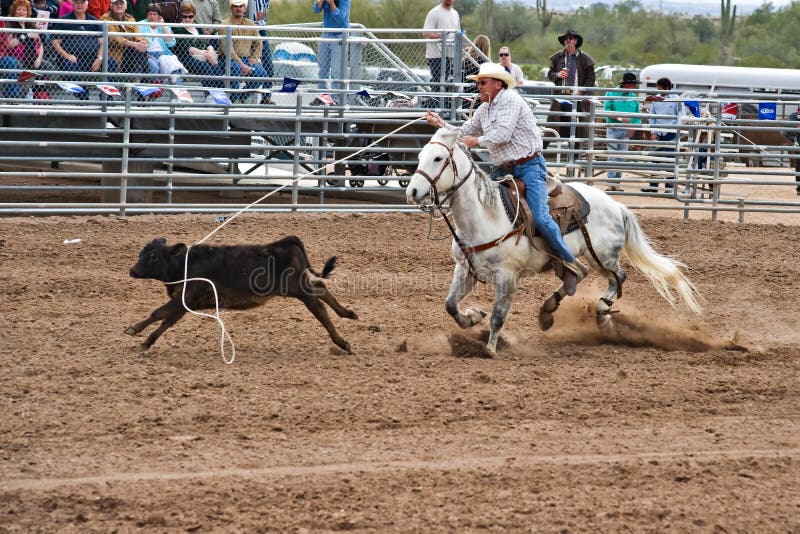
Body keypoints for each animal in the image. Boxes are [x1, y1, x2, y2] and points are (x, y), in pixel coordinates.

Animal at [125, 236, 358, 353]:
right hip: (301, 285)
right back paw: (348, 314)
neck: (182, 264)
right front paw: (146, 340)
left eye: (153, 256)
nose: (133, 271)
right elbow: (166, 320)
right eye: (141, 253)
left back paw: (342, 342)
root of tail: (284, 242)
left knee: (319, 308)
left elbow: (158, 314)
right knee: (321, 287)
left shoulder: (184, 299)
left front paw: (134, 330)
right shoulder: (184, 304)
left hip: (298, 289)